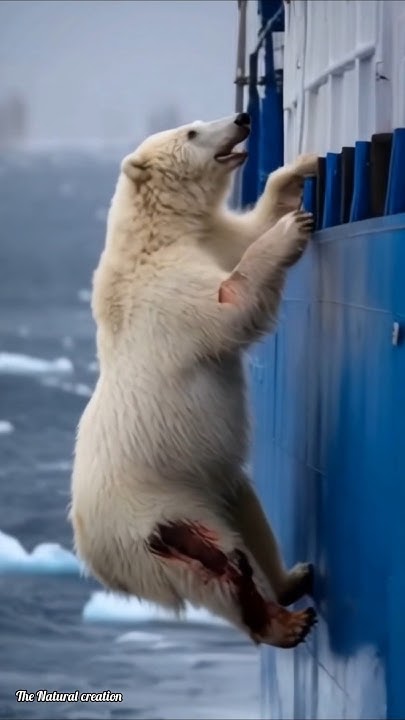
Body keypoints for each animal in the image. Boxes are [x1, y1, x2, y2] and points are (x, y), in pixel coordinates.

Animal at [70, 112, 318, 648]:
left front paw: (297, 174)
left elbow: (241, 236)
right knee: (216, 564)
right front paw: (290, 229)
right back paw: (282, 622)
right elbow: (230, 304)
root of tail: (94, 561)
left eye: (200, 122)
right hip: (156, 515)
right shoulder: (163, 291)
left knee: (246, 508)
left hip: (205, 483)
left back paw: (292, 578)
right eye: (191, 132)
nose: (243, 119)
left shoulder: (206, 239)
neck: (153, 233)